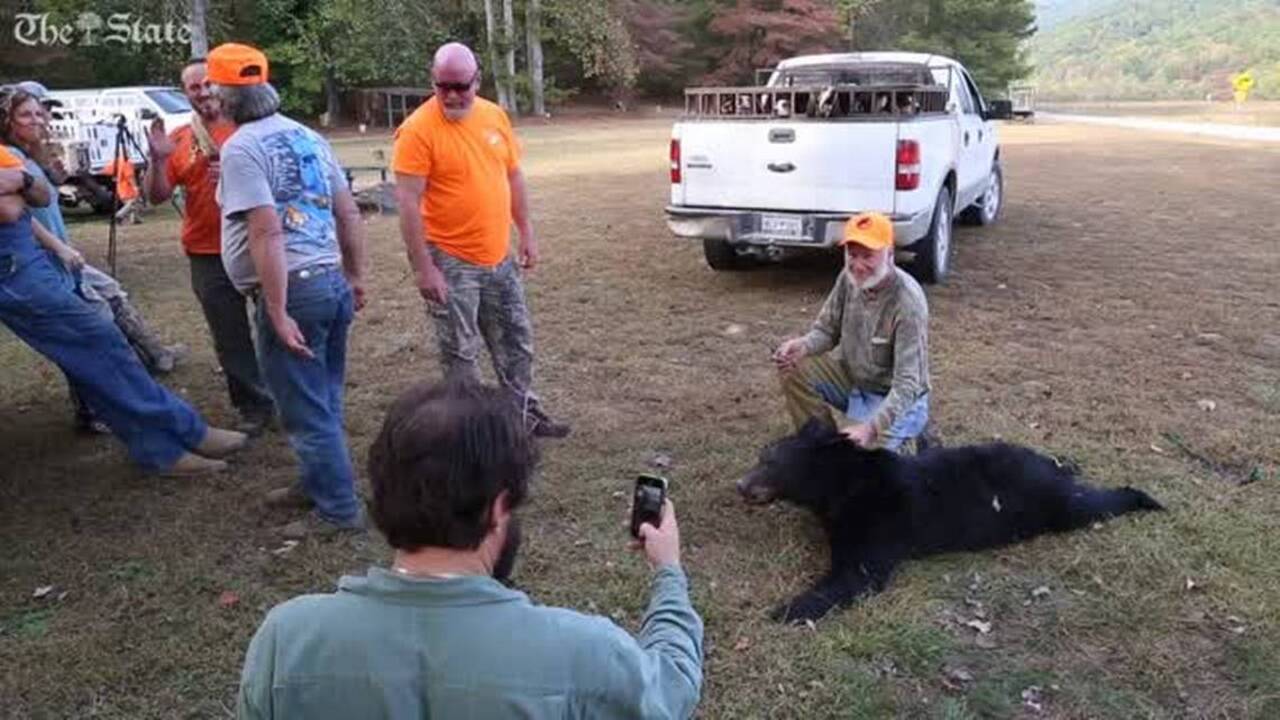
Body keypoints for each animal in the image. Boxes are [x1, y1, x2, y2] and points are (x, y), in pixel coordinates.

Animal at [736, 420, 1164, 624]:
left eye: (770, 461)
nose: (740, 485)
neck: (844, 485)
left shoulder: (877, 528)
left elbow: (853, 576)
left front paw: (788, 609)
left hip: (1053, 503)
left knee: (1092, 502)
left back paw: (1144, 498)